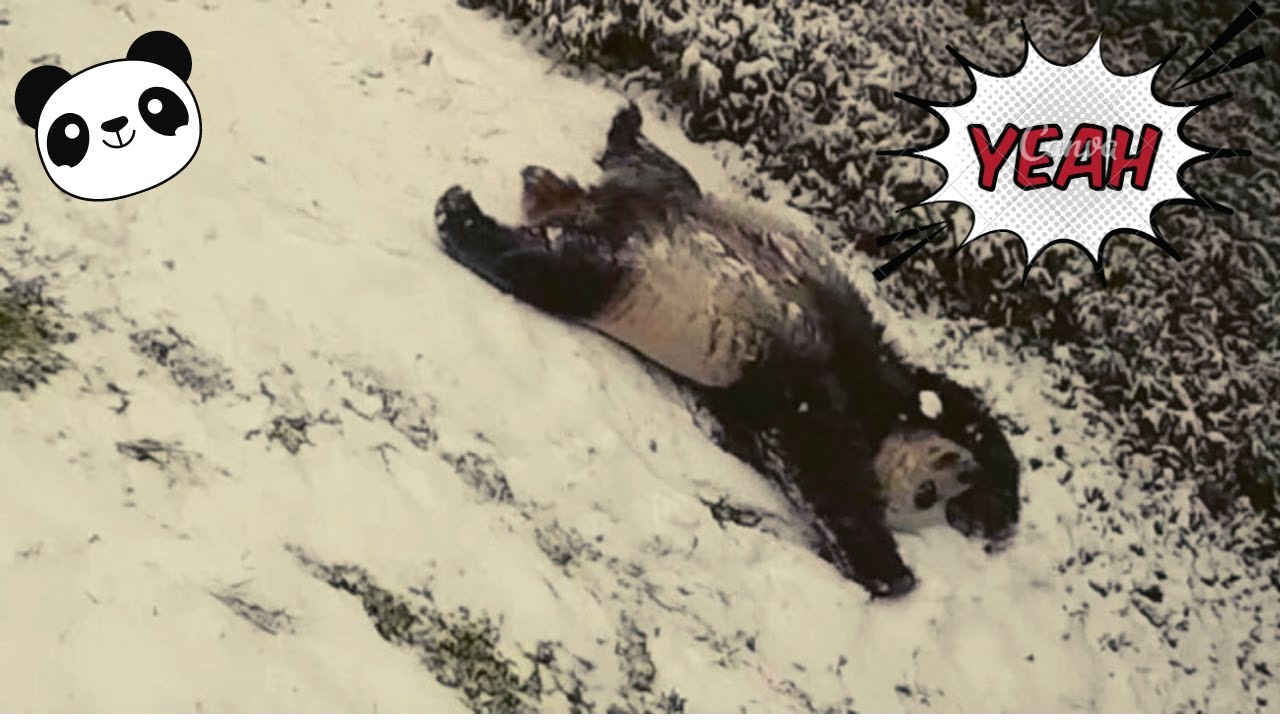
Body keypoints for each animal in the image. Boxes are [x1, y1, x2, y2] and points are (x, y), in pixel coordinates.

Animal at [435, 103, 1020, 598]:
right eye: (927, 494)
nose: (958, 477)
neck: (880, 429)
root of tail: (586, 203)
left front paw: (984, 513)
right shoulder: (822, 377)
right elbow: (839, 456)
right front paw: (890, 568)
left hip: (646, 229)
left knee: (631, 189)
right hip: (634, 272)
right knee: (559, 266)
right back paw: (464, 213)